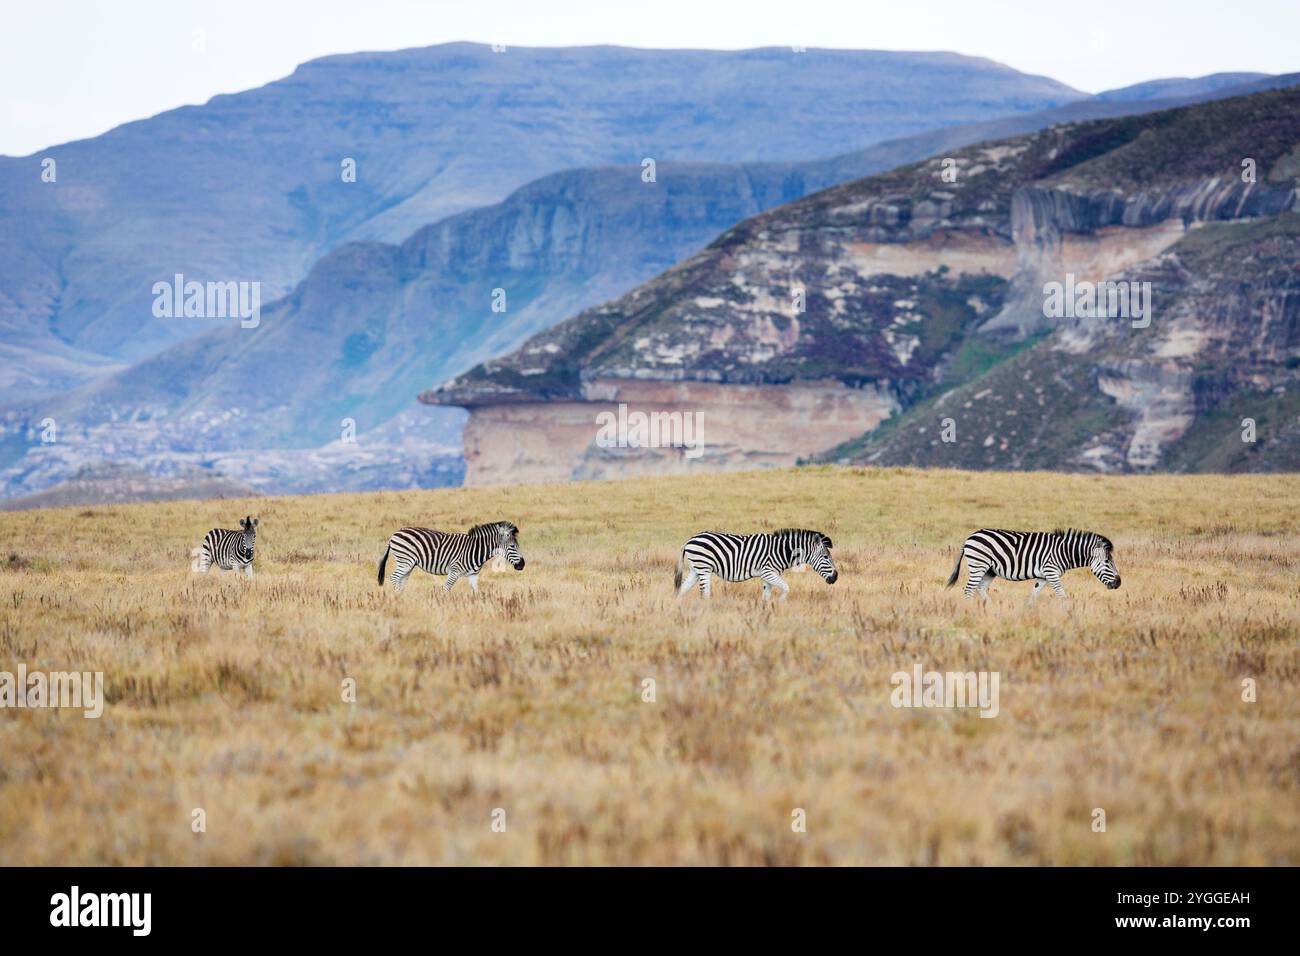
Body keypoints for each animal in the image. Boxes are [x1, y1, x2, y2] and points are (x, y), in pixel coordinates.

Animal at [377, 521, 524, 594]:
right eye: (512, 546)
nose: (522, 565)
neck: (476, 550)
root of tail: (395, 533)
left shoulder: (473, 575)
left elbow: (476, 592)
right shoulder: (454, 571)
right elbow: (446, 589)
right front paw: (444, 606)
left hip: (408, 564)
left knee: (401, 580)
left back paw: (401, 598)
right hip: (405, 560)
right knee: (394, 578)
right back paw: (396, 598)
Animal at [675, 529, 837, 600]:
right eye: (825, 557)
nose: (835, 577)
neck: (781, 551)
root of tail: (689, 540)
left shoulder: (767, 576)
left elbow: (766, 595)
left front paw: (765, 611)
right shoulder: (768, 572)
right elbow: (786, 587)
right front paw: (781, 603)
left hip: (696, 570)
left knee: (682, 589)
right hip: (704, 567)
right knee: (705, 593)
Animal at [945, 528, 1121, 601]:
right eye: (1107, 562)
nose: (1118, 583)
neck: (1063, 551)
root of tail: (970, 536)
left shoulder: (1043, 576)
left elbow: (1034, 594)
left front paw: (1027, 612)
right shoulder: (1051, 571)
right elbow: (1062, 594)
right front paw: (1068, 612)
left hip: (990, 570)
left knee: (980, 588)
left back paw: (990, 609)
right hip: (979, 565)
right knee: (969, 589)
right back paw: (970, 609)